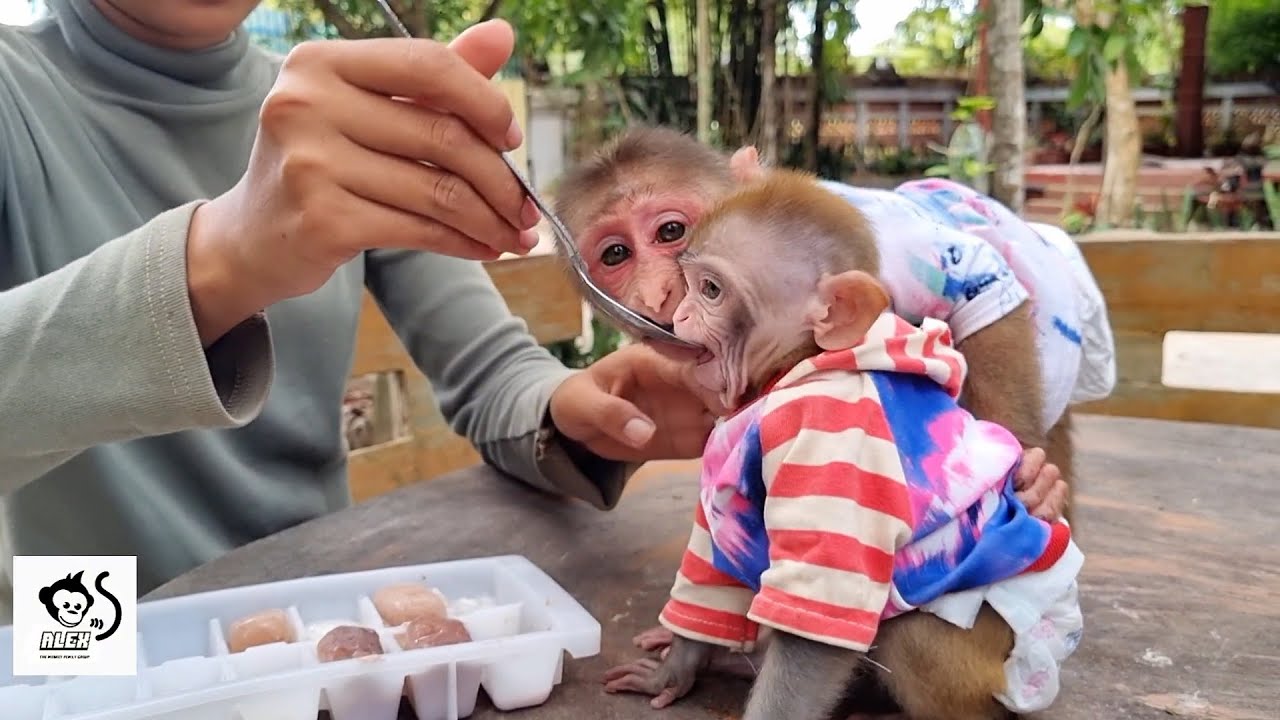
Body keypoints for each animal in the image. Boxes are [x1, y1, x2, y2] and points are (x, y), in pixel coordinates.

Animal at [600, 169, 1085, 720]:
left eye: (710, 290)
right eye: (689, 285)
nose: (679, 316)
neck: (792, 368)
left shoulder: (832, 438)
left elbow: (820, 608)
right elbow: (712, 559)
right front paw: (675, 668)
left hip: (1000, 651)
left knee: (911, 632)